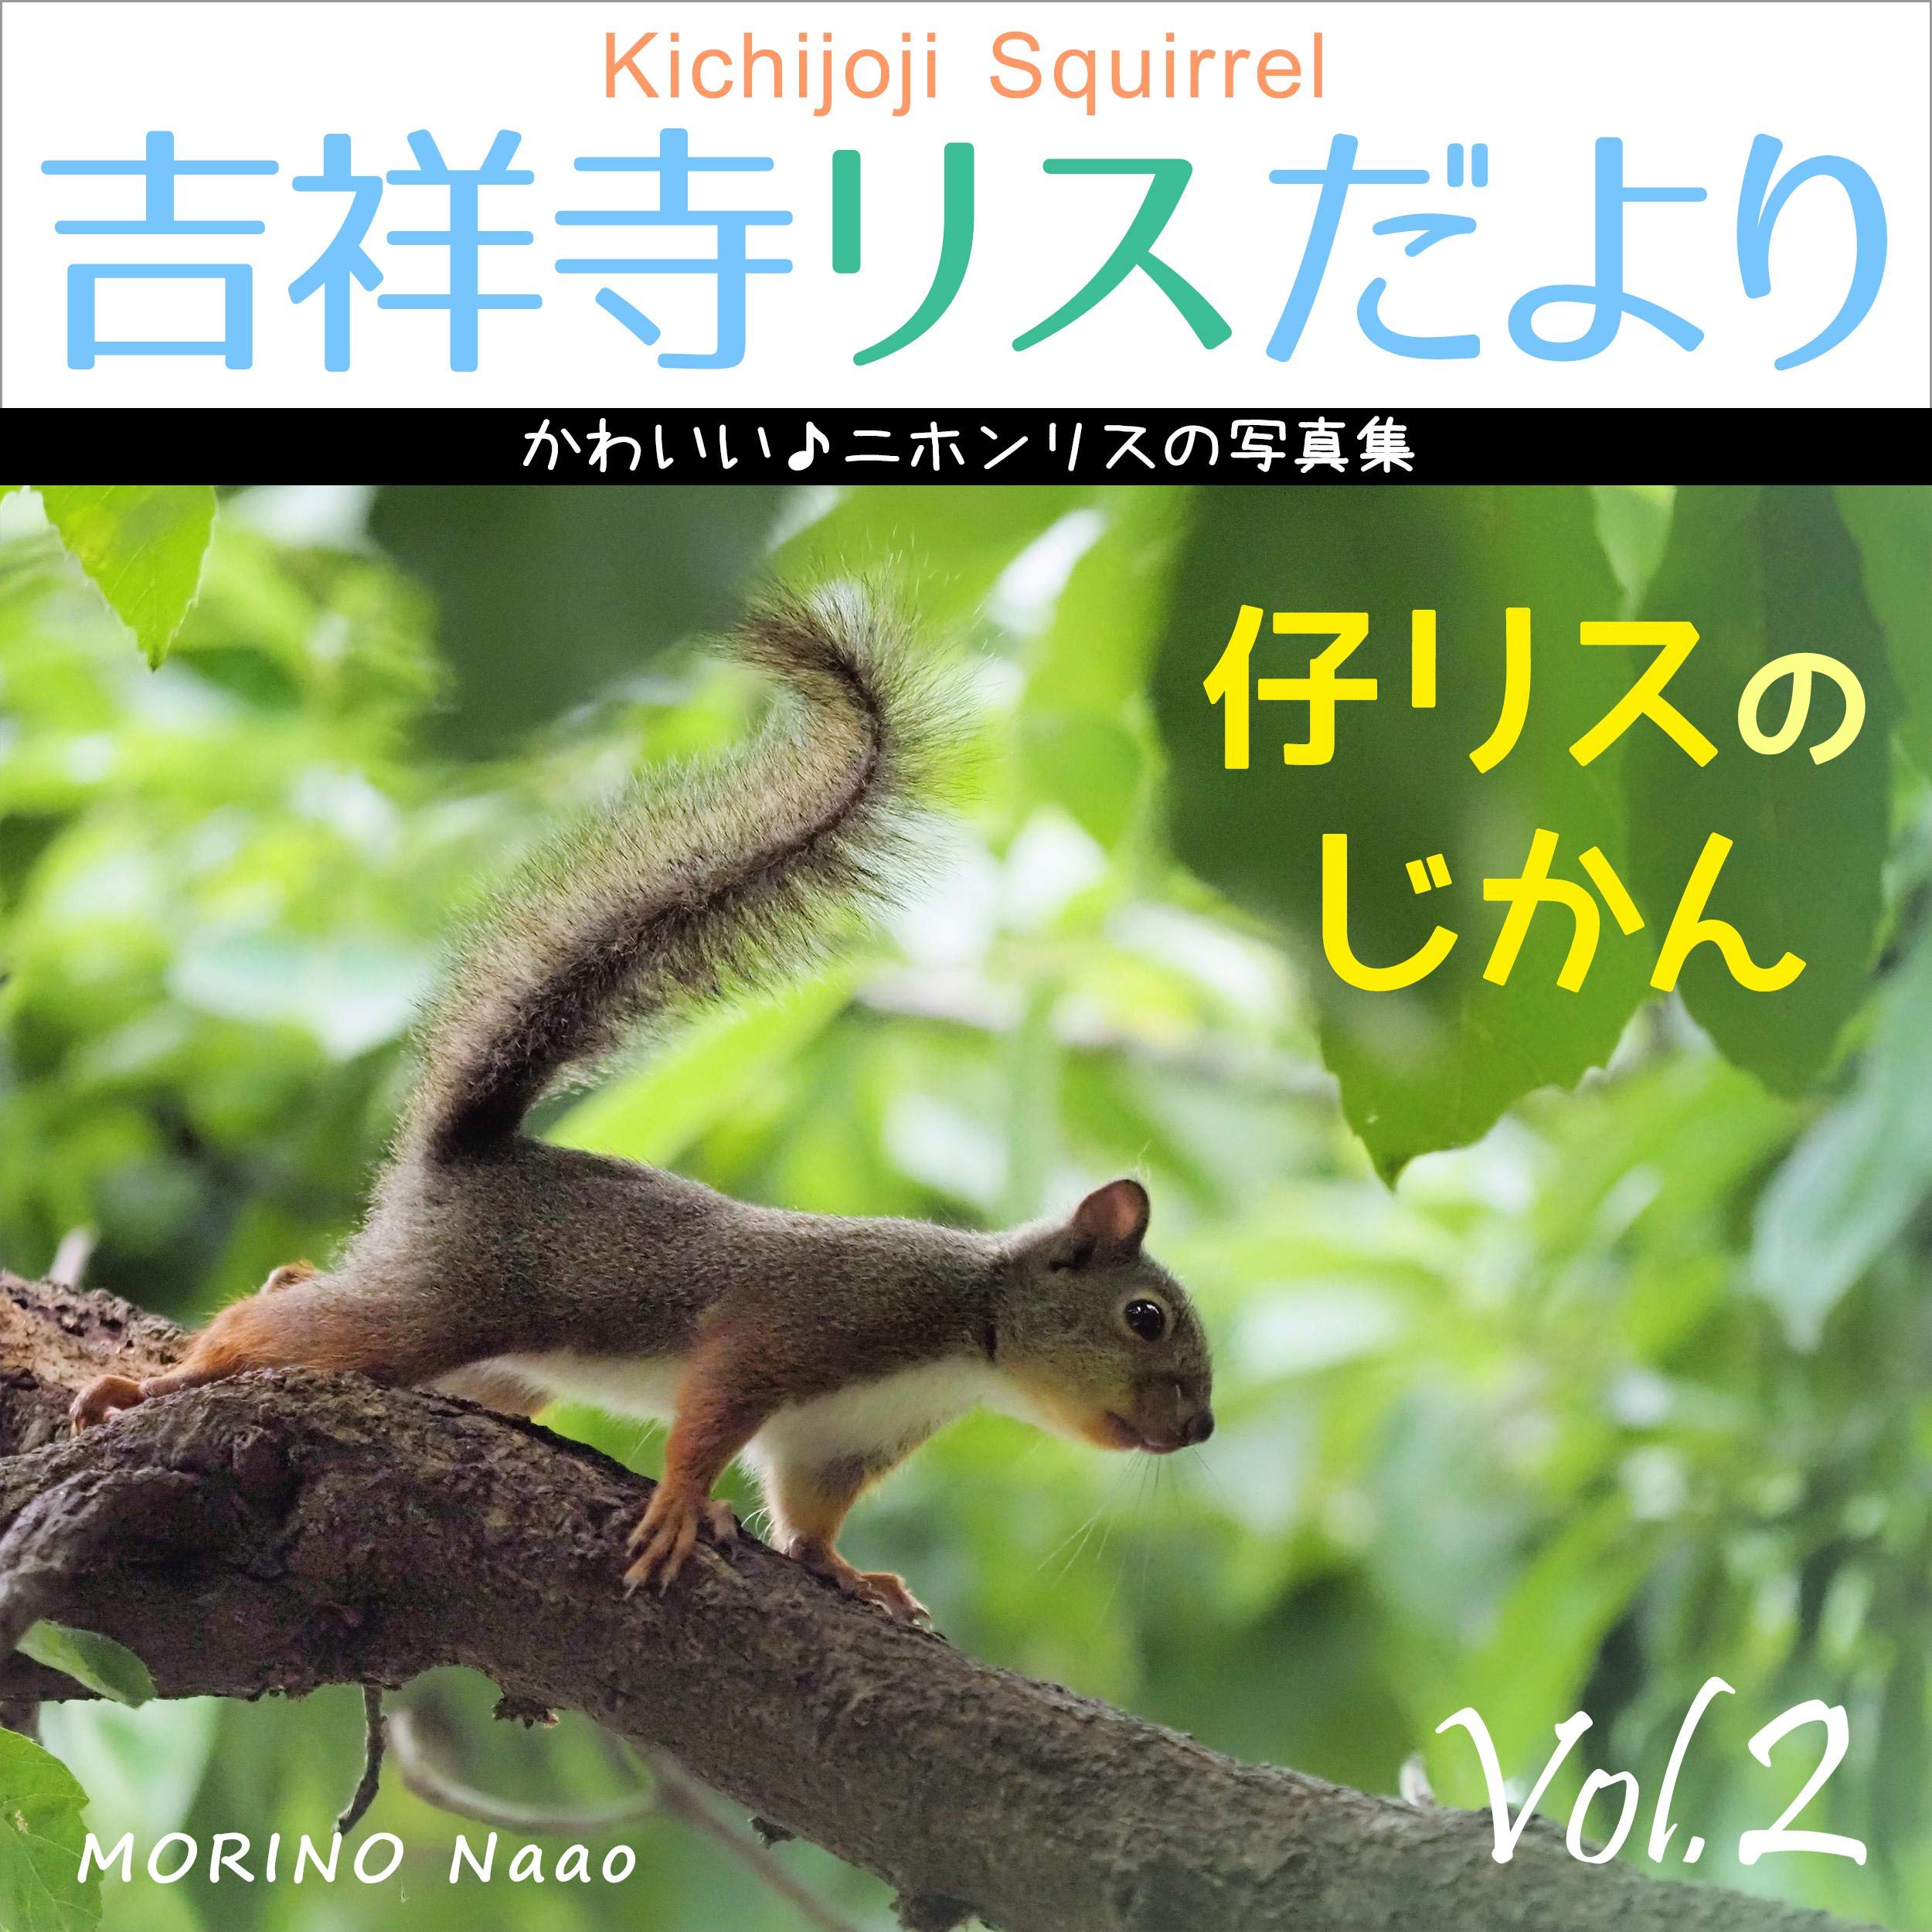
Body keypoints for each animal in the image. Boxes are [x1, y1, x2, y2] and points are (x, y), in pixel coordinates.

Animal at [69, 588, 1214, 1622]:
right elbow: (711, 1413)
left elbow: (810, 1515)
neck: (971, 1335)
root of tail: (469, 1152)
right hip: (448, 1301)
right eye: (1145, 1317)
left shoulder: (839, 1439)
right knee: (293, 1325)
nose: (1198, 1429)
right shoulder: (803, 1320)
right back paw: (167, 1379)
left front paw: (847, 1573)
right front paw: (680, 1507)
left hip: (498, 1366)